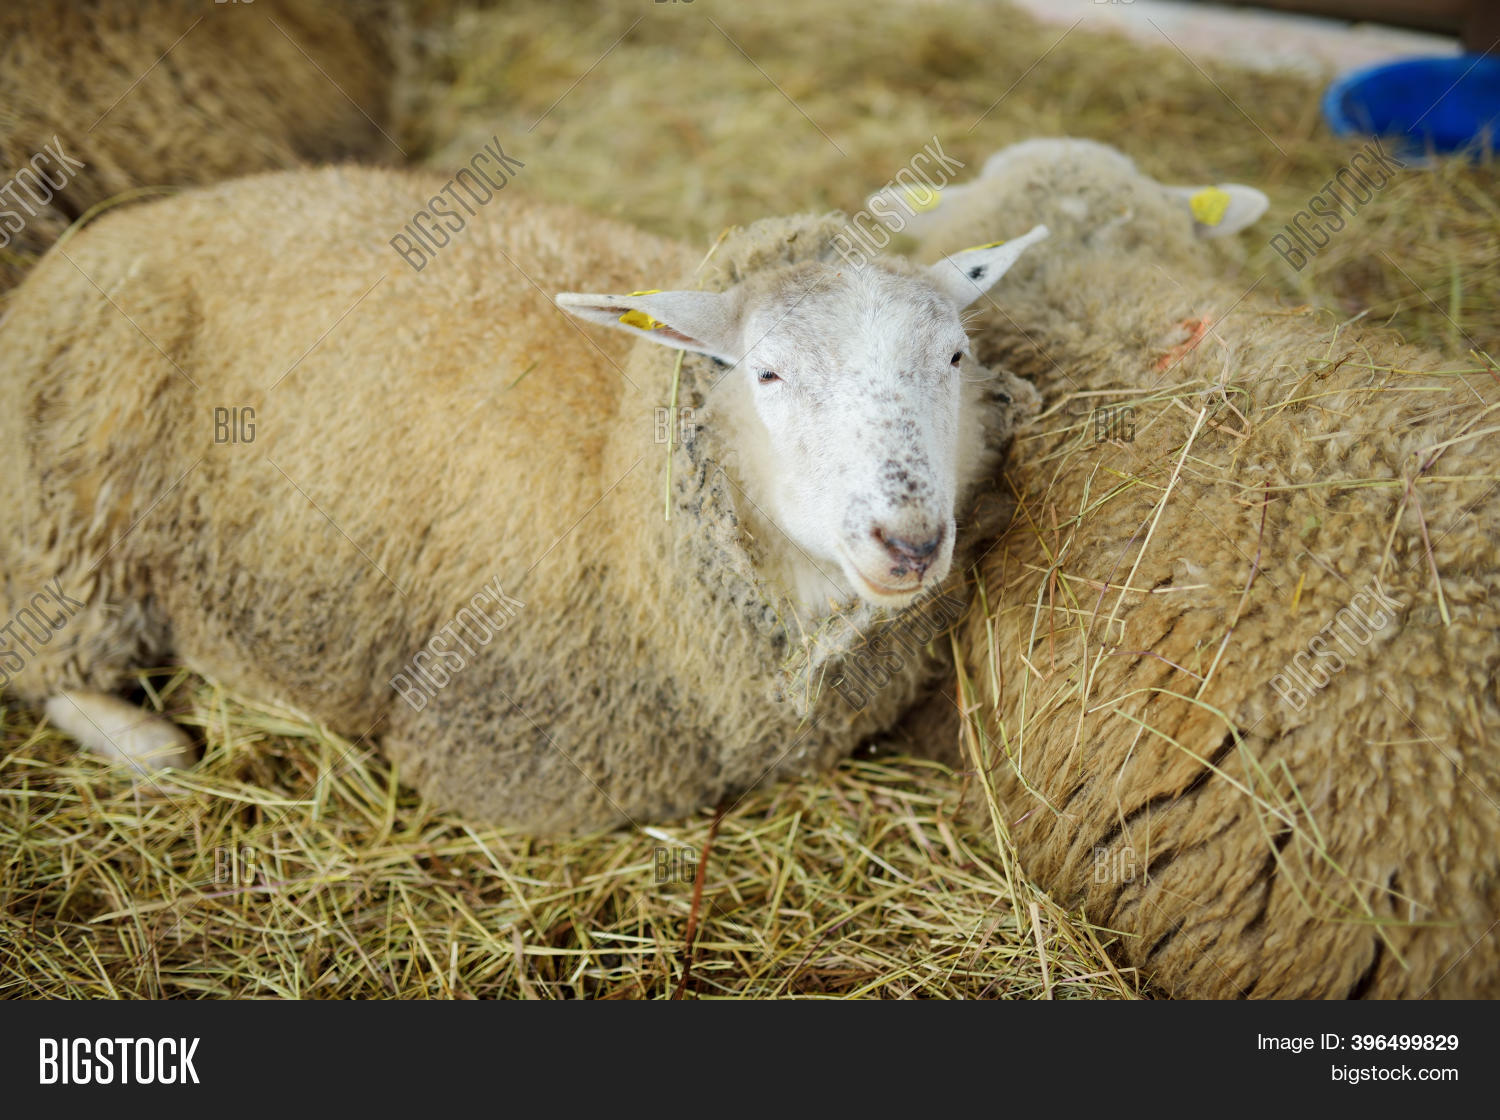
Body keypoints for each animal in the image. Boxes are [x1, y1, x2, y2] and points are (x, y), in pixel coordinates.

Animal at [0, 164, 1047, 833]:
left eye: (955, 357)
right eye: (768, 373)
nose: (909, 541)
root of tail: (125, 224)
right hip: (66, 508)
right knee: (42, 657)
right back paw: (148, 742)